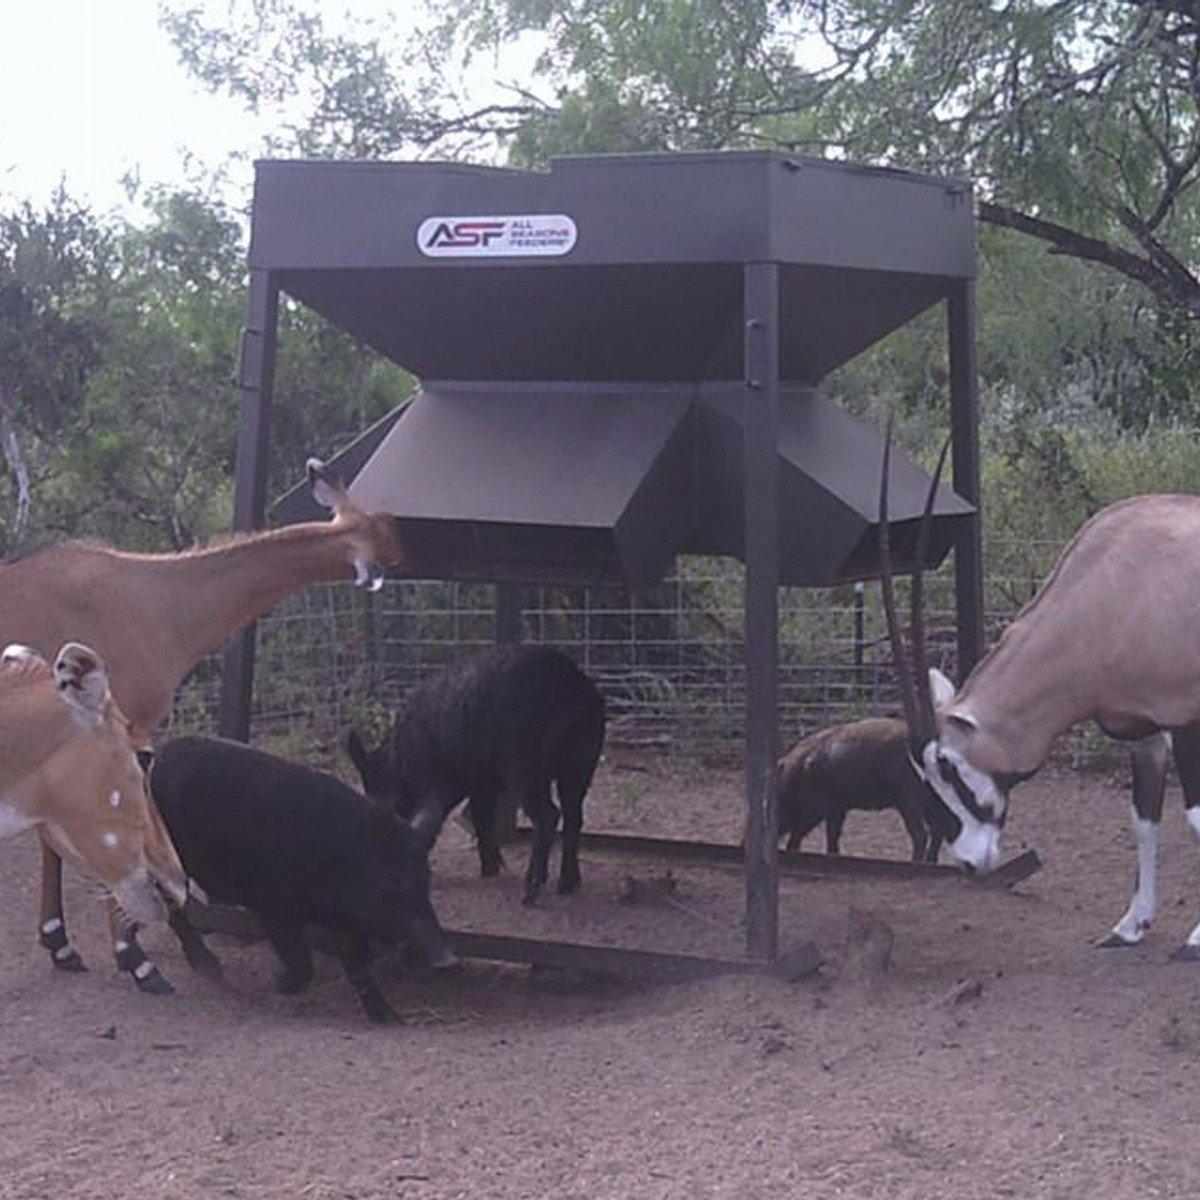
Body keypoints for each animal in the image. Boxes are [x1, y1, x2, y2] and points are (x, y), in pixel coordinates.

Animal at [878, 422, 1200, 961]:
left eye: (948, 766)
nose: (969, 862)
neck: (1116, 587)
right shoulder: (1142, 729)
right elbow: (1143, 819)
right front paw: (1131, 925)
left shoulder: (1186, 720)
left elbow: (1197, 820)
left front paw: (1196, 938)